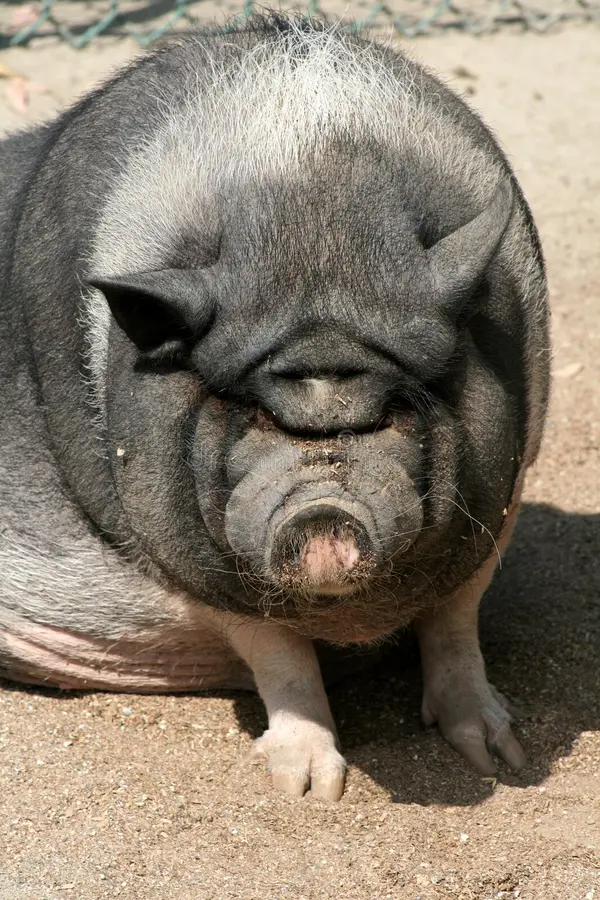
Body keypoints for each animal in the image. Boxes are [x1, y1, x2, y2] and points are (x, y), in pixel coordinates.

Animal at [0, 14, 550, 800]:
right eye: (257, 414)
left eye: (392, 411)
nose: (323, 514)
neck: (312, 201)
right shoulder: (176, 547)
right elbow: (278, 650)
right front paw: (309, 790)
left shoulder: (514, 467)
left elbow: (456, 616)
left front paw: (497, 757)